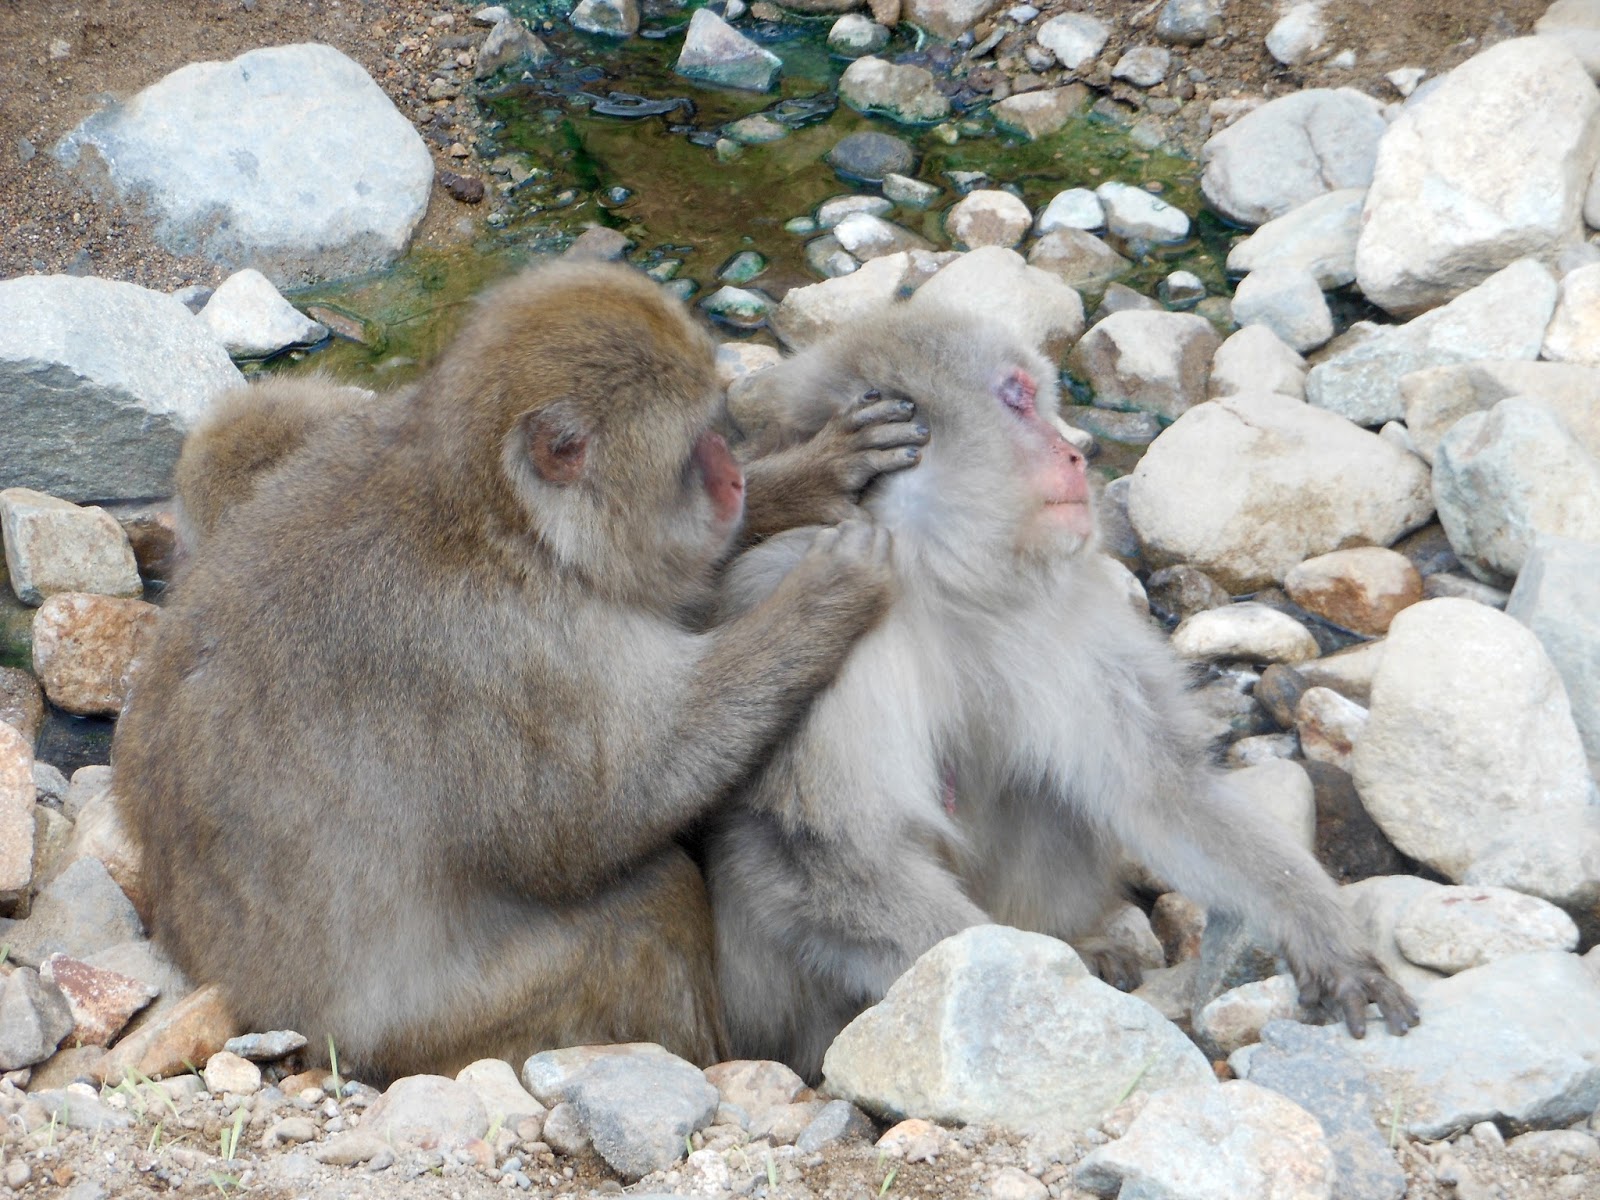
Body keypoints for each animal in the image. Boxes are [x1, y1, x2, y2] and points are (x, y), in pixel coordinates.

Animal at [112, 260, 901, 1082]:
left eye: (722, 430)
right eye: (694, 450)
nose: (734, 484)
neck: (505, 526)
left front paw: (810, 474)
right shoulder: (508, 656)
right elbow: (600, 815)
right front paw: (824, 595)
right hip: (435, 1034)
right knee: (647, 907)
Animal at [704, 302, 1420, 1080]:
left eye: (1040, 399)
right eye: (1018, 399)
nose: (1077, 455)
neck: (939, 576)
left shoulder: (1076, 610)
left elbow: (1163, 794)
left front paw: (1321, 932)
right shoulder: (810, 609)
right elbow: (824, 853)